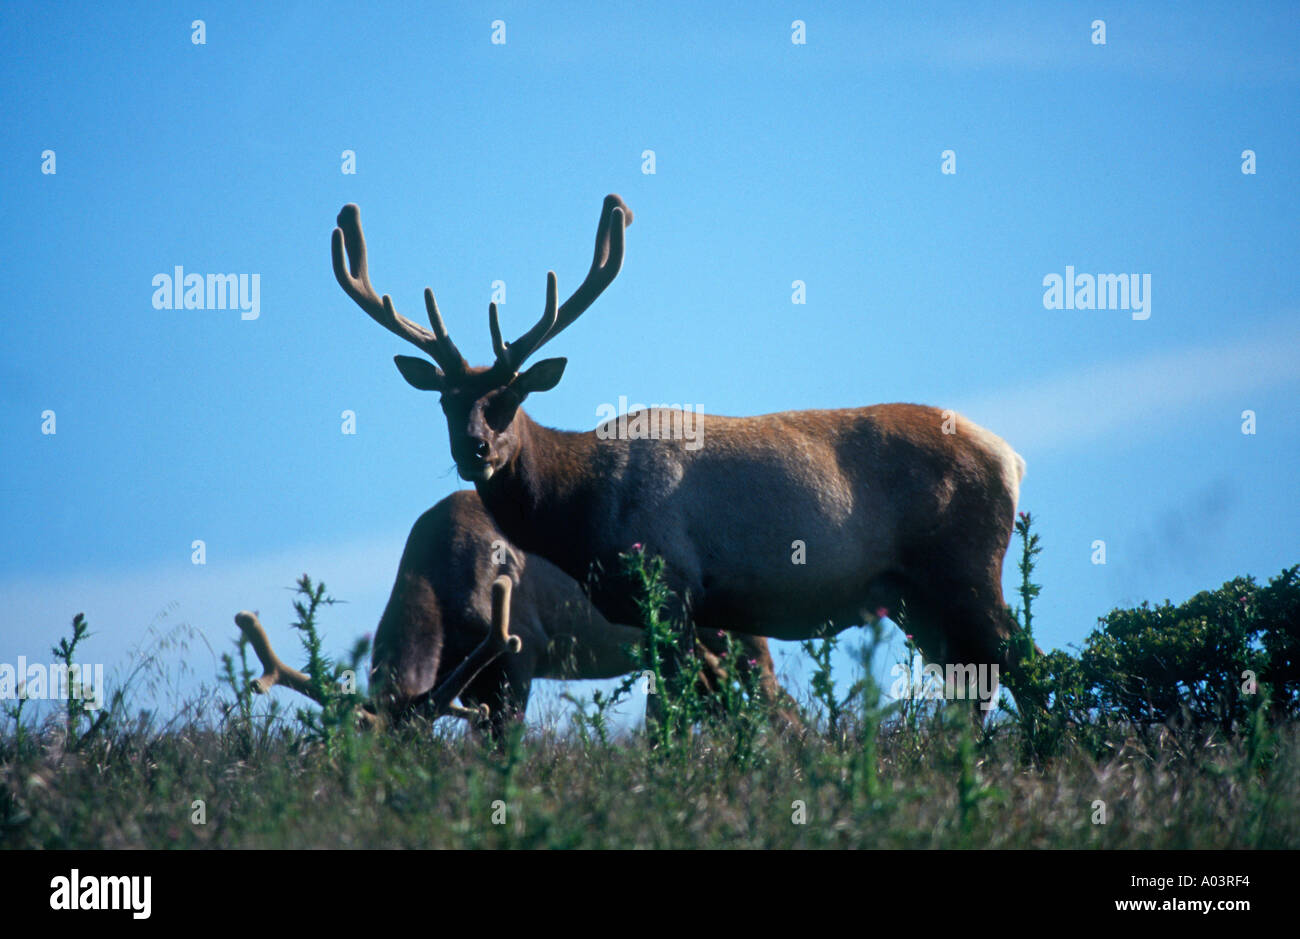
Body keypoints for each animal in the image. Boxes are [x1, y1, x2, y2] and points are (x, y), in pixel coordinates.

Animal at [331, 194, 1035, 715]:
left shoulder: (670, 584)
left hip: (967, 568)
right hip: (920, 599)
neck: (582, 507)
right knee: (974, 686)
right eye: (446, 403)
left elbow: (665, 720)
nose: (474, 449)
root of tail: (1010, 457)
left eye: (510, 399)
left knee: (1025, 666)